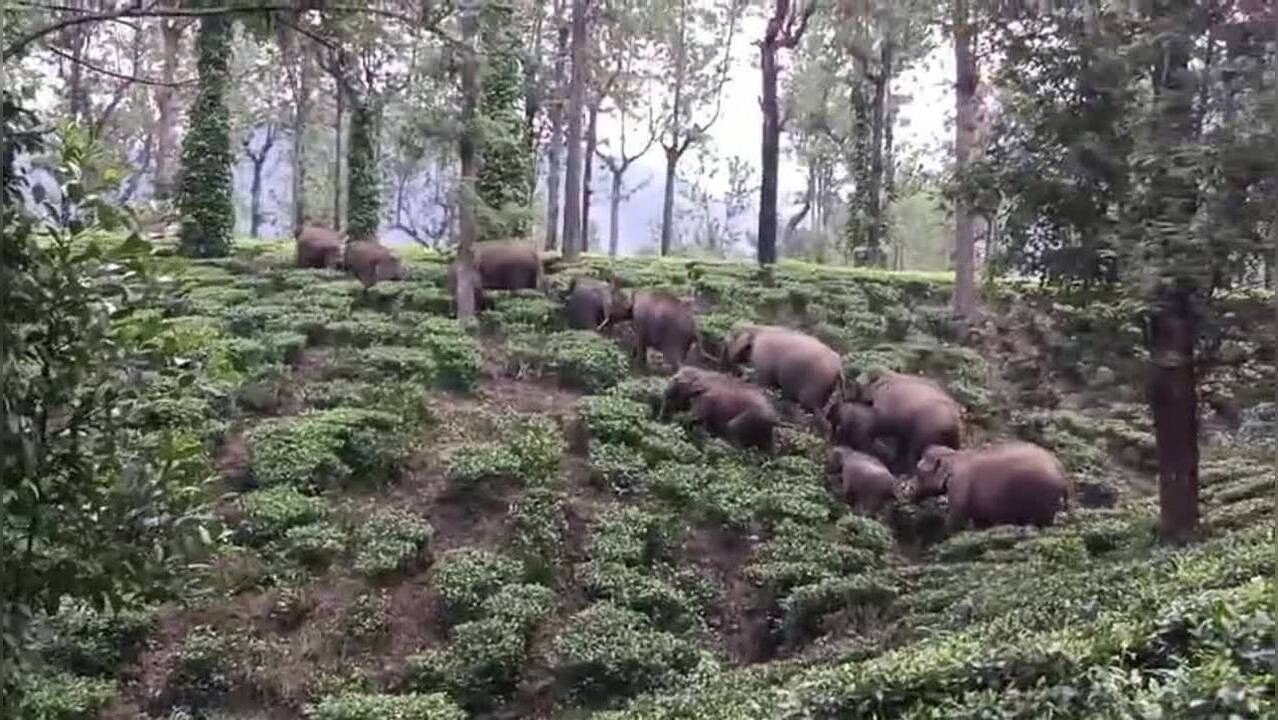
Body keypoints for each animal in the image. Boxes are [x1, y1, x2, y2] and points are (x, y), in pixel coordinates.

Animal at [913, 442, 1071, 531]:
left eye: (919, 471)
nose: (911, 493)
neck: (953, 456)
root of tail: (1063, 474)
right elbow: (980, 522)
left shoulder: (960, 487)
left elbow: (956, 519)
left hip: (1044, 499)